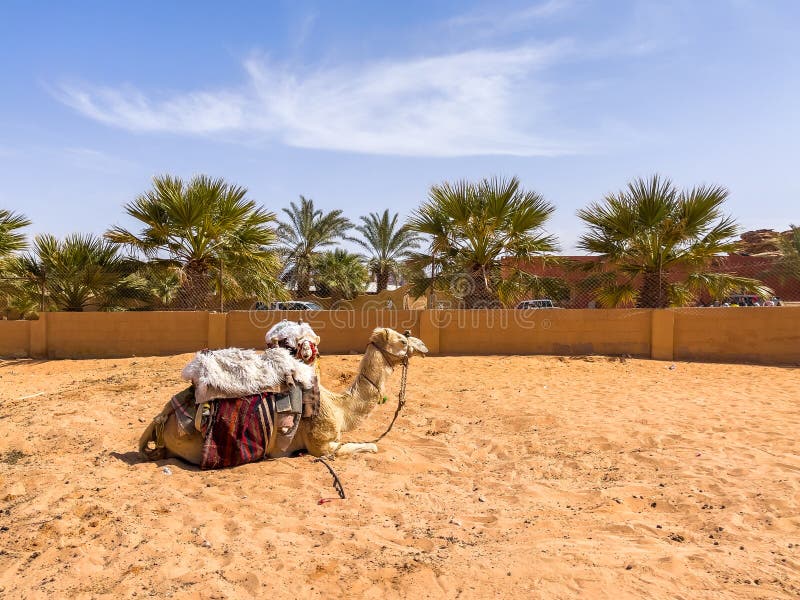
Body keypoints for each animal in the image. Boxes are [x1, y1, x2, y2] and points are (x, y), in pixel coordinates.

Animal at [138, 327, 428, 465]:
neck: (340, 408)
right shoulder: (321, 445)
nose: (423, 347)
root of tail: (162, 418)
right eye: (402, 341)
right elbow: (367, 446)